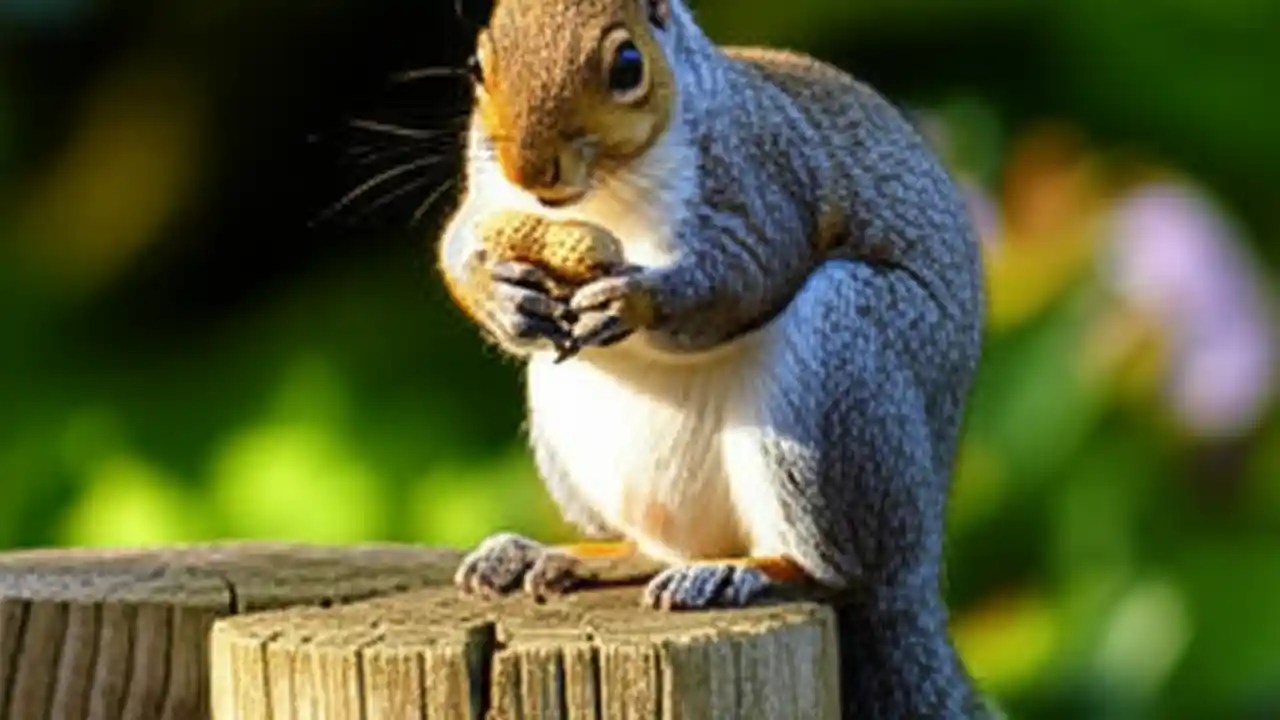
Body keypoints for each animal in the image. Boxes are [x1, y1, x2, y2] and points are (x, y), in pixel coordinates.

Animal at [436, 0, 989, 717]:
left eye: (627, 66)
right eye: (479, 65)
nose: (530, 171)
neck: (608, 190)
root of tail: (918, 567)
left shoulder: (759, 178)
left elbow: (749, 270)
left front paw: (637, 300)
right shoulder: (488, 194)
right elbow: (457, 242)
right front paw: (496, 295)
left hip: (846, 359)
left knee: (836, 573)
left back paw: (742, 572)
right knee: (654, 545)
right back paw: (557, 556)